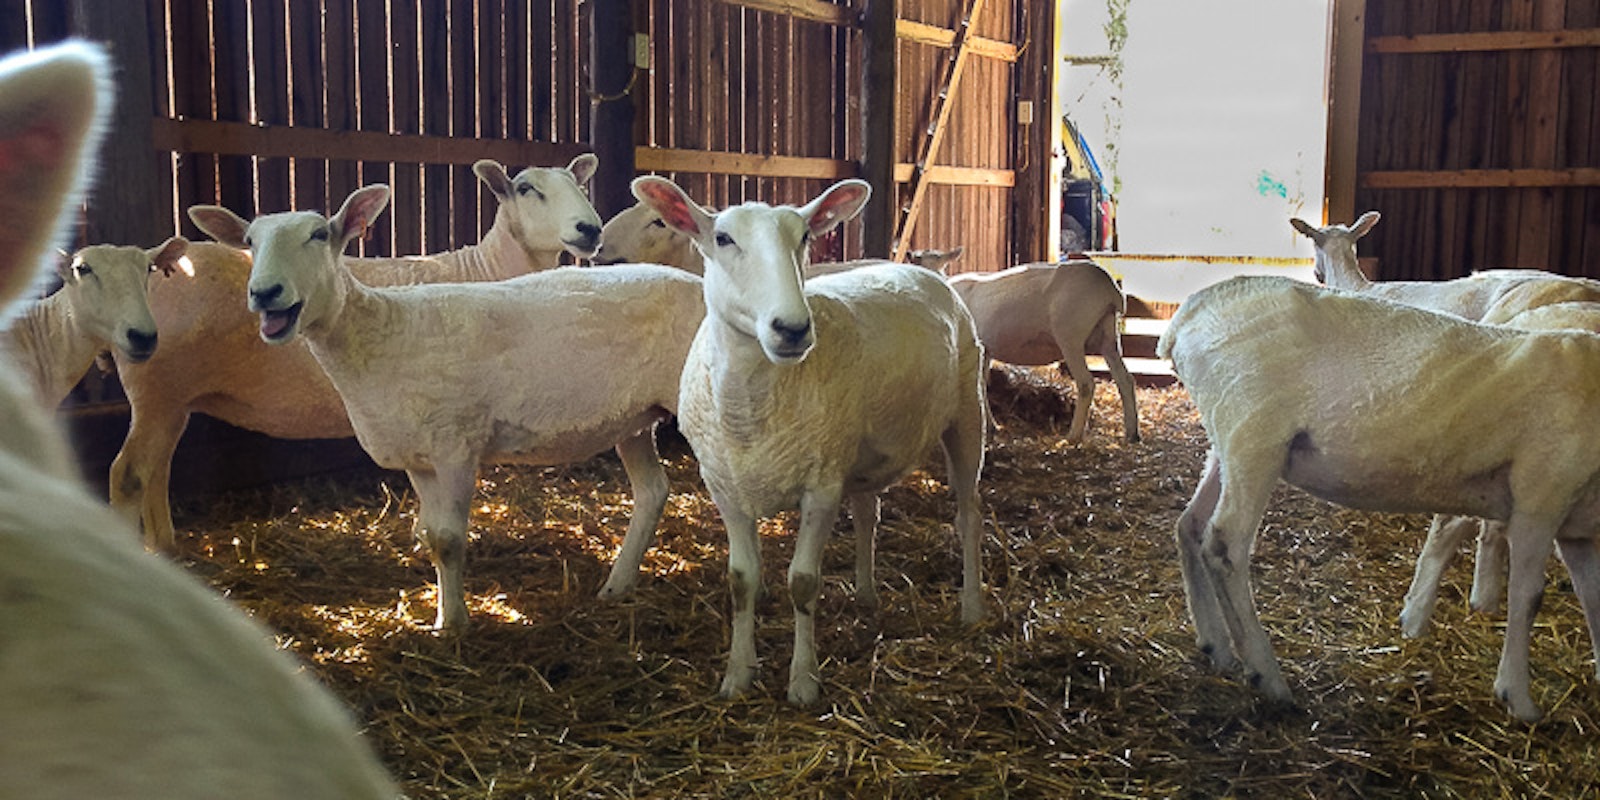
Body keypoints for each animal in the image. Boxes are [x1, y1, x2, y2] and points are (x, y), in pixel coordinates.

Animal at [111, 155, 603, 551]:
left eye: (579, 185)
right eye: (527, 189)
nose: (591, 229)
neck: (489, 269)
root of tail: (156, 263)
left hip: (170, 399)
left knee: (157, 470)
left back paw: (164, 546)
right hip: (157, 390)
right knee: (129, 476)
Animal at [192, 184, 705, 632]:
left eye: (320, 235)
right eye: (250, 241)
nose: (265, 292)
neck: (380, 333)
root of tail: (700, 282)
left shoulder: (456, 444)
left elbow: (452, 540)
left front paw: (455, 623)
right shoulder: (418, 457)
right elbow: (434, 538)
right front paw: (442, 619)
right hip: (634, 418)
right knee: (652, 491)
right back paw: (618, 585)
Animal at [632, 175, 988, 705]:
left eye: (804, 237)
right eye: (723, 238)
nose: (793, 328)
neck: (750, 404)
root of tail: (920, 270)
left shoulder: (820, 489)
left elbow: (802, 583)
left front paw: (803, 681)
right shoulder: (724, 487)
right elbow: (741, 581)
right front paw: (738, 675)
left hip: (967, 410)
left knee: (968, 515)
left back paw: (972, 607)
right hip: (857, 449)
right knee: (868, 513)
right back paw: (866, 595)